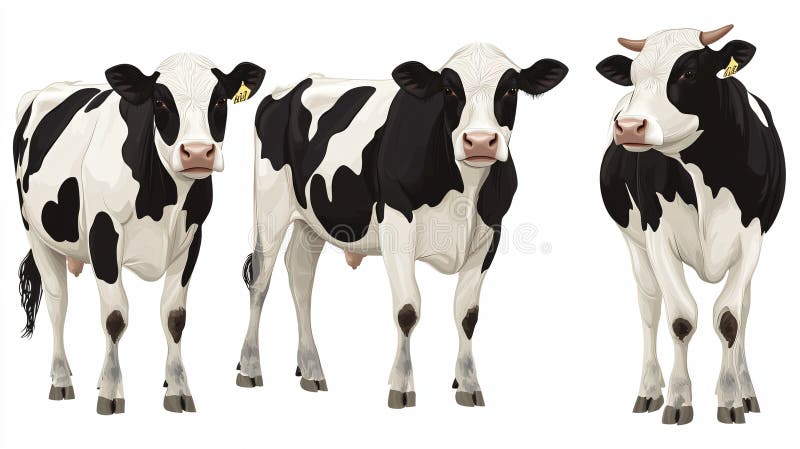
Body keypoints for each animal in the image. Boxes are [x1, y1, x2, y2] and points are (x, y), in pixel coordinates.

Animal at [13, 53, 265, 414]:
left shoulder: (192, 238)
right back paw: (61, 380)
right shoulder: (103, 235)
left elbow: (174, 316)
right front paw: (111, 394)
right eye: (160, 101)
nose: (198, 152)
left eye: (219, 100)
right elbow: (115, 317)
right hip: (35, 232)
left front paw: (177, 388)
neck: (161, 200)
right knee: (57, 304)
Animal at [236, 43, 568, 408]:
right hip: (270, 205)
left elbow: (467, 314)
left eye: (510, 89)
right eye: (449, 89)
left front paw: (468, 385)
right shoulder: (396, 225)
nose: (480, 141)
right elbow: (408, 309)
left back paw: (311, 370)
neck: (463, 190)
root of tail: (295, 84)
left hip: (312, 219)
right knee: (260, 281)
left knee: (300, 273)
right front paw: (402, 385)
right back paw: (250, 367)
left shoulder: (490, 233)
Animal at [596, 25, 785, 424]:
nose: (630, 127)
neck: (705, 172)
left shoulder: (752, 237)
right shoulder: (657, 236)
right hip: (634, 244)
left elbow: (729, 319)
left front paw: (730, 399)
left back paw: (747, 390)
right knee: (649, 307)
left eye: (689, 72)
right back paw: (649, 390)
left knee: (745, 309)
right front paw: (679, 399)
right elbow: (681, 318)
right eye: (634, 77)